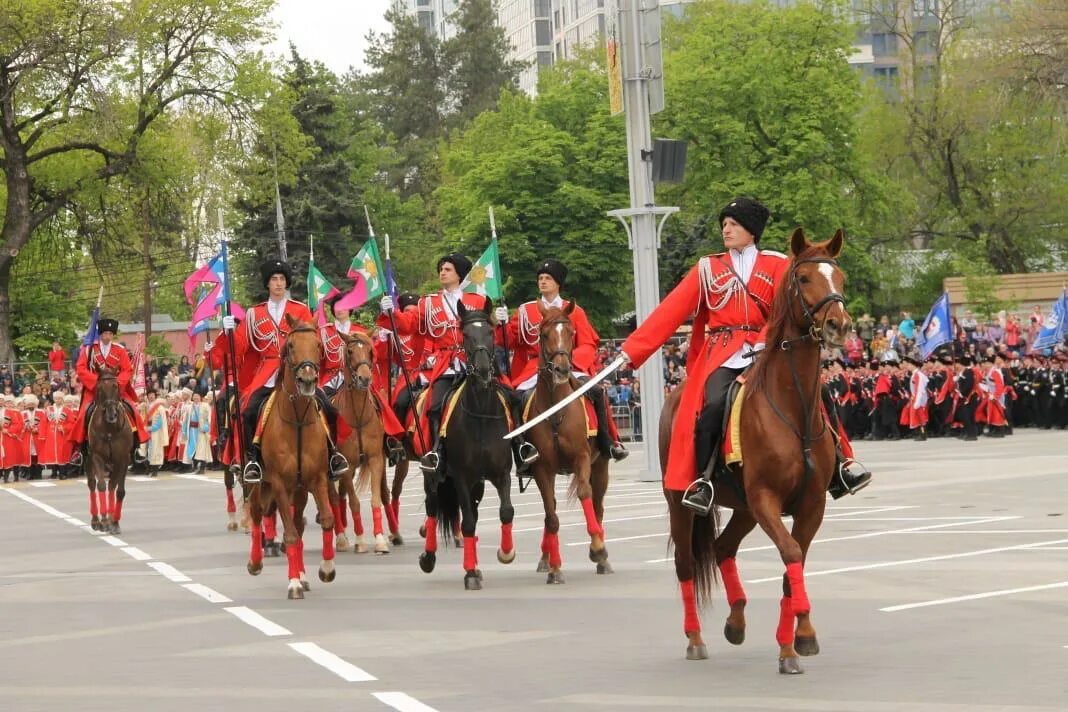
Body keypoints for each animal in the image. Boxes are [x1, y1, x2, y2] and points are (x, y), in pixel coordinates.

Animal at [85, 371, 133, 531]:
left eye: (115, 386)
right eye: (99, 387)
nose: (112, 415)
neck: (110, 429)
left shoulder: (123, 458)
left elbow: (119, 490)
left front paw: (114, 522)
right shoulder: (97, 457)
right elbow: (100, 485)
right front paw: (104, 520)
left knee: (112, 484)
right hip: (88, 459)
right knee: (92, 484)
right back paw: (96, 520)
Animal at [245, 313, 337, 597]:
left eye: (318, 345)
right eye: (292, 345)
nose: (307, 381)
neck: (296, 419)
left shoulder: (318, 479)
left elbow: (326, 520)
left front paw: (326, 569)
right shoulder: (278, 484)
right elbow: (290, 534)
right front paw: (293, 582)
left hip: (300, 490)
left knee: (297, 522)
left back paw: (304, 575)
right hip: (260, 484)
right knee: (257, 514)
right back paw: (255, 563)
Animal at [416, 303, 516, 589]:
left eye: (491, 333)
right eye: (467, 335)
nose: (483, 371)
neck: (481, 412)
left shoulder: (501, 473)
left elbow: (506, 511)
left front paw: (506, 552)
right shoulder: (460, 477)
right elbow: (468, 522)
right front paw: (470, 573)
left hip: (477, 483)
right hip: (434, 474)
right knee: (432, 506)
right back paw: (429, 558)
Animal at [523, 301, 610, 584]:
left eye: (571, 333)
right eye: (543, 334)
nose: (562, 370)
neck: (555, 409)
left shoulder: (582, 458)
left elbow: (584, 494)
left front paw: (597, 548)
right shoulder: (542, 468)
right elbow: (551, 514)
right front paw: (555, 568)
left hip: (601, 466)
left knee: (598, 505)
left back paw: (602, 555)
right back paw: (545, 557)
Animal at [662, 229, 854, 674]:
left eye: (840, 277)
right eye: (804, 278)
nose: (838, 325)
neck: (792, 406)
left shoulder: (811, 504)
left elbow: (792, 563)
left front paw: (795, 640)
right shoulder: (767, 498)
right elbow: (789, 552)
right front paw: (800, 636)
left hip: (744, 508)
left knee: (722, 548)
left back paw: (735, 620)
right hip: (682, 502)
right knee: (686, 563)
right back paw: (695, 638)